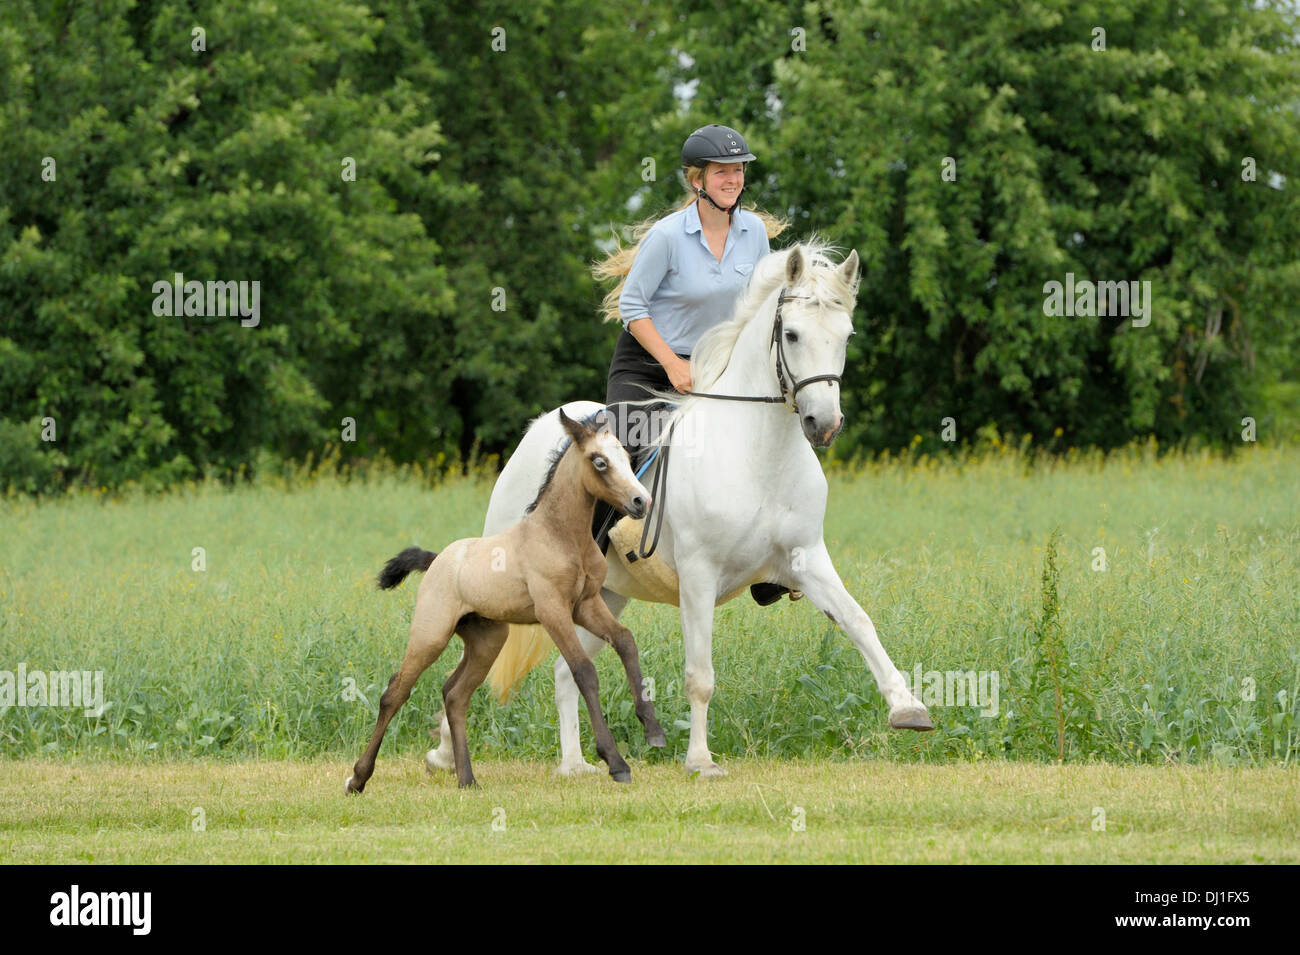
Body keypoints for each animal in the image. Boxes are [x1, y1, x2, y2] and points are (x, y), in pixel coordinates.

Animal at [345, 409, 666, 791]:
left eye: (627, 458)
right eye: (599, 461)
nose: (641, 502)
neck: (560, 537)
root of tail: (436, 560)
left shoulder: (586, 605)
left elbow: (625, 641)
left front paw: (654, 730)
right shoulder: (552, 610)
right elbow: (583, 670)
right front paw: (615, 762)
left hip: (487, 640)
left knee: (454, 694)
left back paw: (467, 779)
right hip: (431, 635)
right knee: (395, 692)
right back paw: (358, 779)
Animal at [426, 239, 934, 778]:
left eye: (846, 336)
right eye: (792, 334)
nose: (824, 424)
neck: (758, 453)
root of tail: (540, 428)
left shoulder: (806, 558)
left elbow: (858, 621)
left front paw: (908, 708)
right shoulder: (698, 574)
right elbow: (700, 674)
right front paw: (700, 760)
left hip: (603, 596)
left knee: (566, 669)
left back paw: (575, 764)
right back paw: (444, 753)